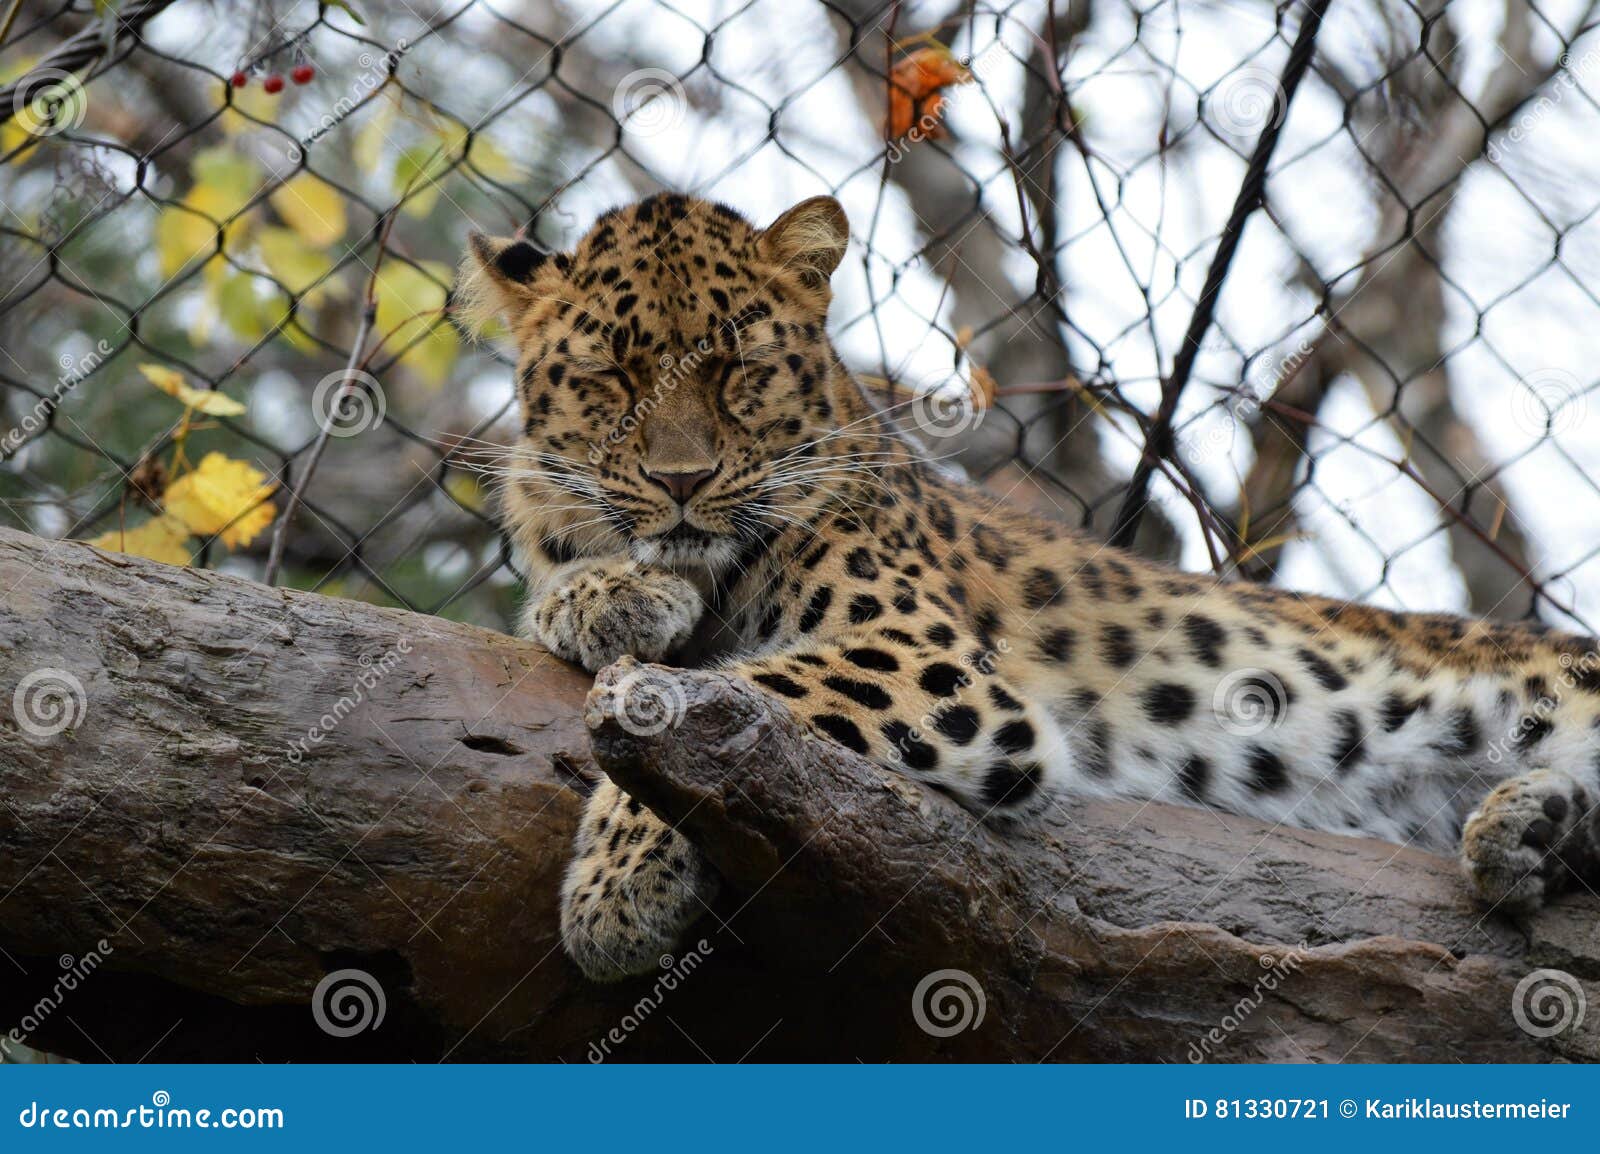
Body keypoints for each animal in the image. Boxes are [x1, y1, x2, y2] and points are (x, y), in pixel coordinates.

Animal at [458, 191, 1600, 983]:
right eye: (609, 377)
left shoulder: (929, 660)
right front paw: (606, 595)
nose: (683, 480)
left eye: (739, 369)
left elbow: (739, 695)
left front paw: (616, 890)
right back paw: (1527, 832)